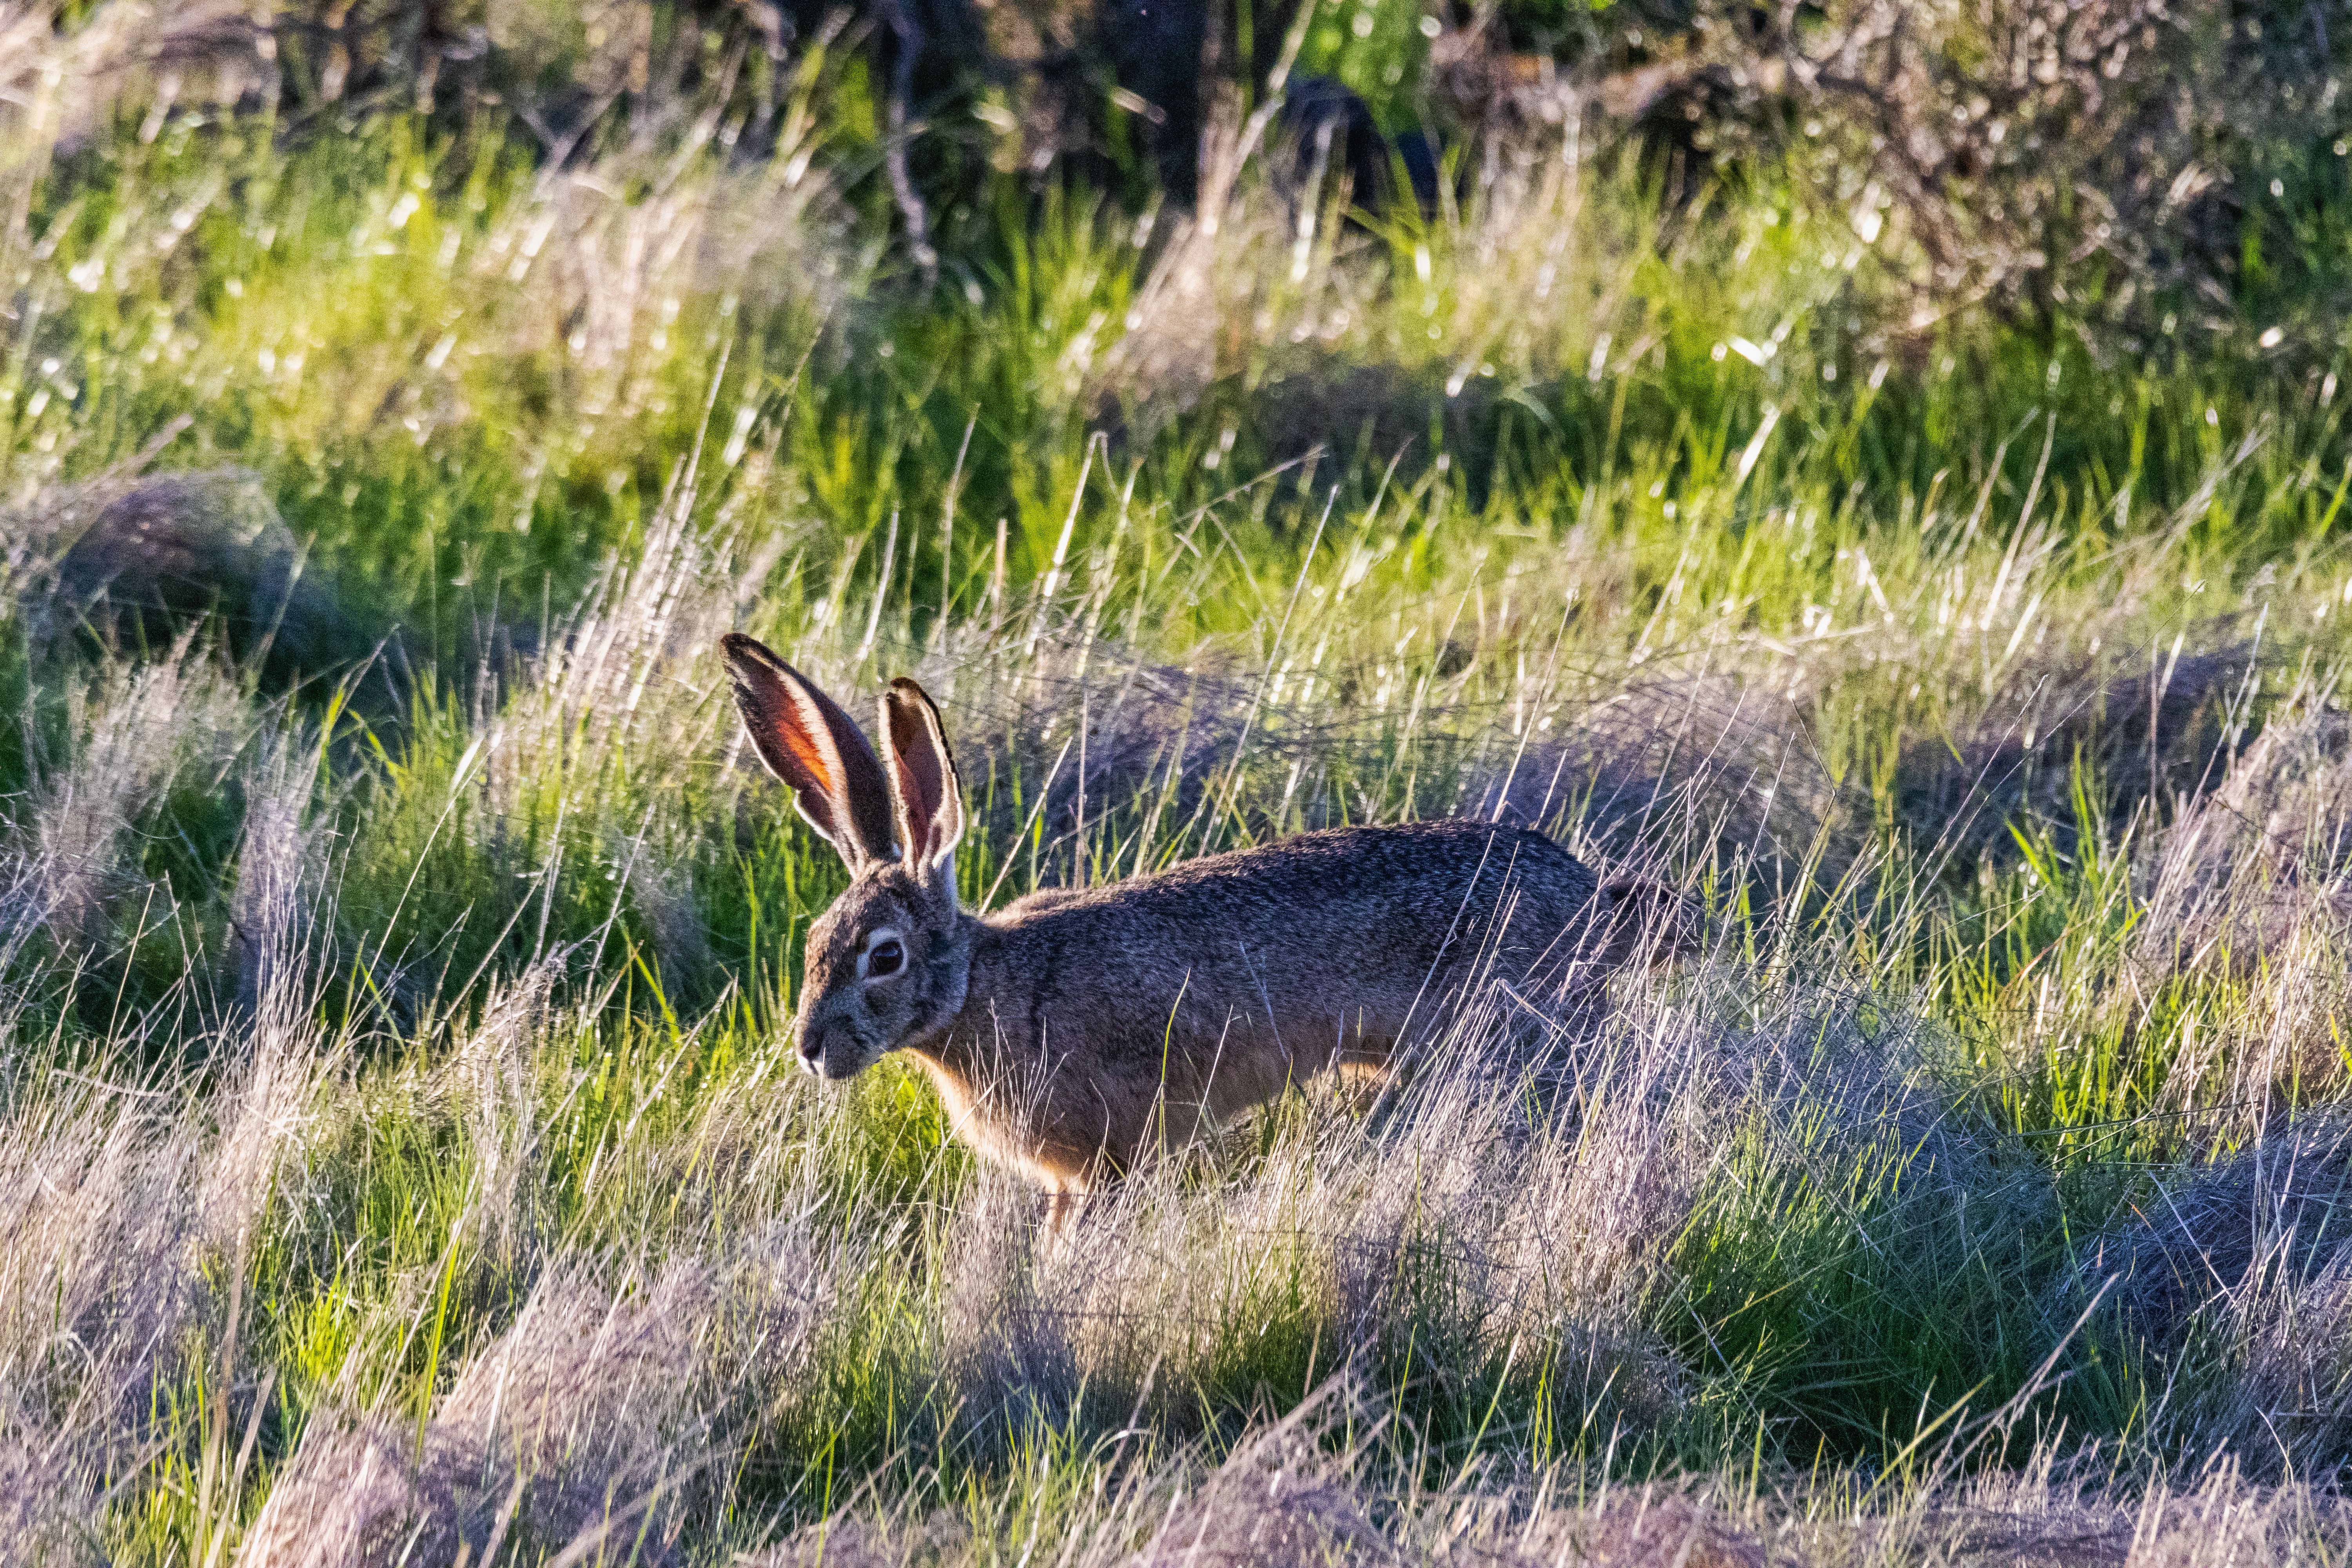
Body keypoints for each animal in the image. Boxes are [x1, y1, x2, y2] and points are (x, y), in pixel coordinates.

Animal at [723, 632, 1689, 1234]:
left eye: (884, 957)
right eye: (813, 944)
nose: (811, 1049)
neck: (982, 987)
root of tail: (1584, 896)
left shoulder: (1109, 1154)